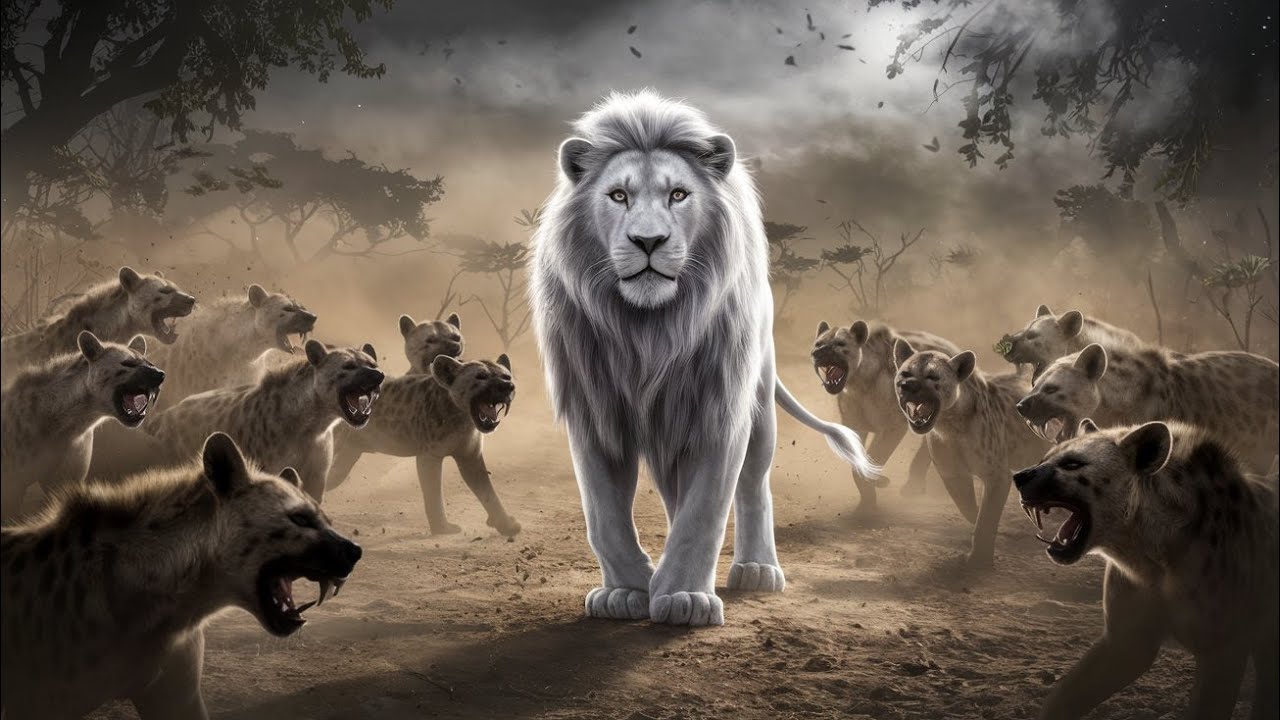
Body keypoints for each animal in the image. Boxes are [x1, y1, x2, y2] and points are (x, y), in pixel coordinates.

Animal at [529, 90, 878, 627]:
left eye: (678, 194)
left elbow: (706, 510)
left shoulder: (718, 406)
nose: (648, 241)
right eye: (617, 196)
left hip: (759, 405)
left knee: (754, 485)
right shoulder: (595, 413)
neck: (649, 330)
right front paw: (627, 590)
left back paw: (758, 570)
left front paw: (683, 598)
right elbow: (604, 516)